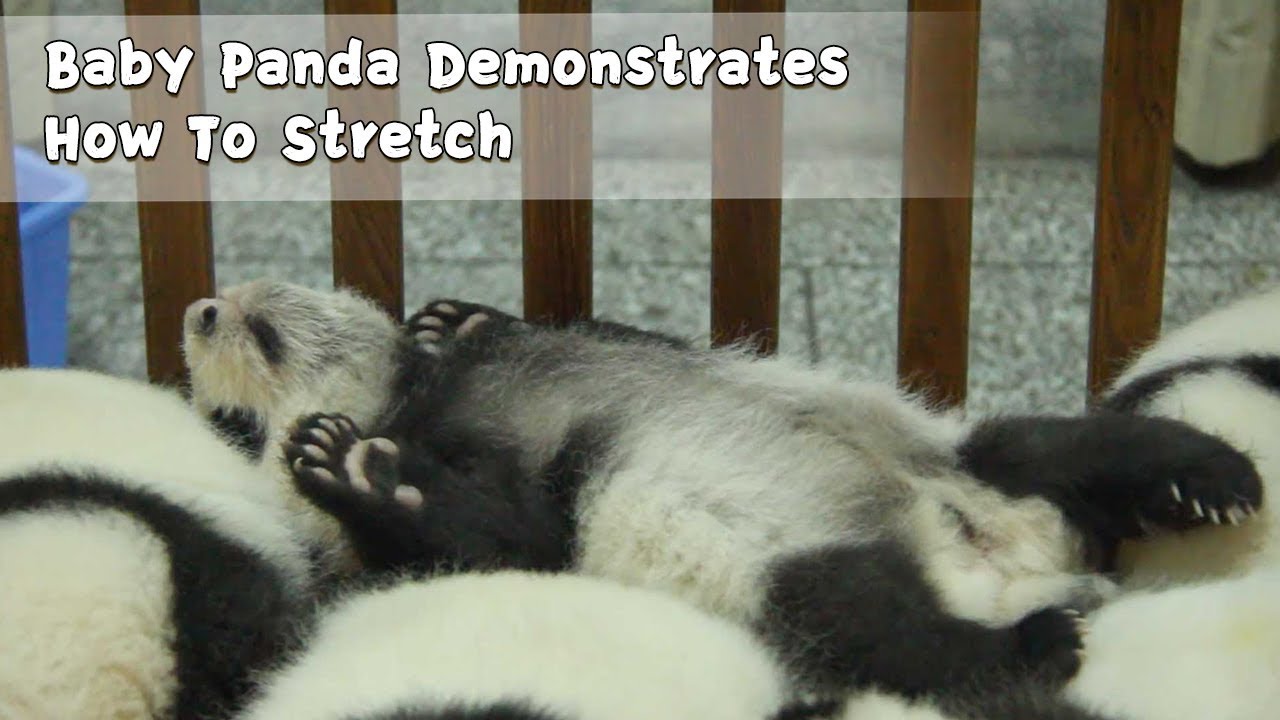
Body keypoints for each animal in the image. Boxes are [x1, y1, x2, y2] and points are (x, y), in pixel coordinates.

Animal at [181, 279, 1261, 708]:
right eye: (236, 429)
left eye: (259, 331)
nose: (199, 312)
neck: (410, 399)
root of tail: (1010, 559)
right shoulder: (539, 504)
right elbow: (513, 537)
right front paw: (357, 472)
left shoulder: (586, 361)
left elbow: (617, 335)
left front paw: (455, 317)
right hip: (793, 577)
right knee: (878, 627)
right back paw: (1032, 645)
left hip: (948, 448)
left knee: (1058, 443)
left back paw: (1213, 480)